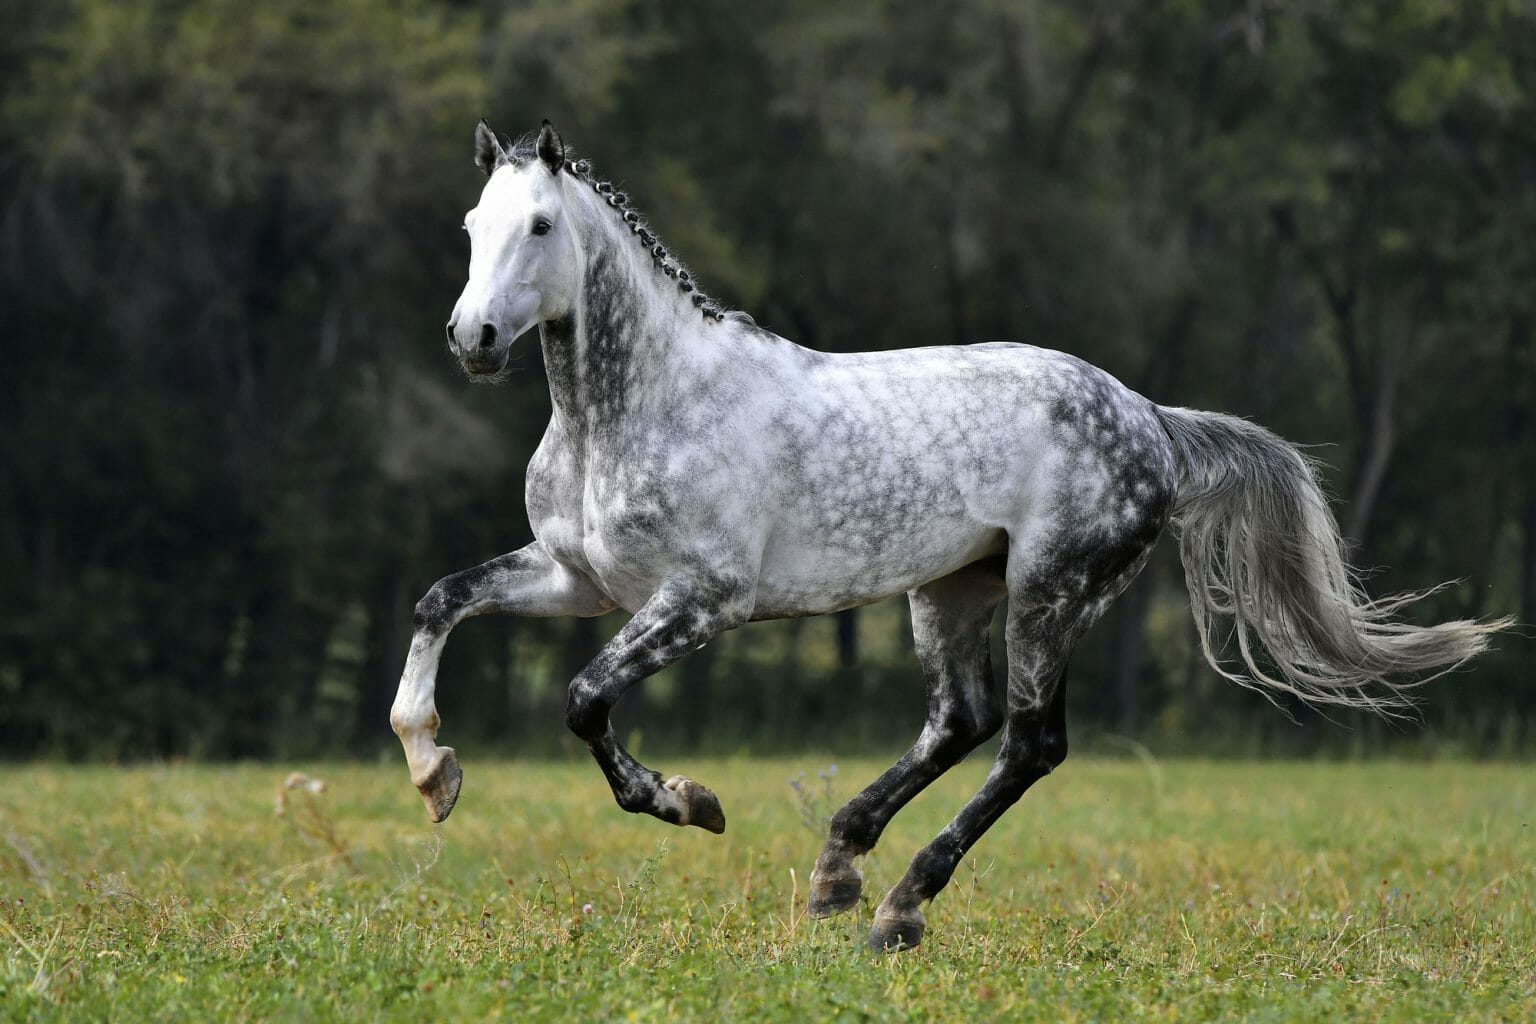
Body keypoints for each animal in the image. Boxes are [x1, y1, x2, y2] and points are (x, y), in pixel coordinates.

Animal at [389, 120, 1509, 952]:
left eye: (539, 224)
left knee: (1027, 743)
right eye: (473, 222)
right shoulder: (578, 580)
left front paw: (690, 801)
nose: (470, 340)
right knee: (959, 720)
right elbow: (441, 601)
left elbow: (583, 700)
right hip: (953, 588)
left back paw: (897, 907)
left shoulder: (702, 600)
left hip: (1052, 592)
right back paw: (840, 867)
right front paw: (433, 774)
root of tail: (1149, 417)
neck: (637, 408)